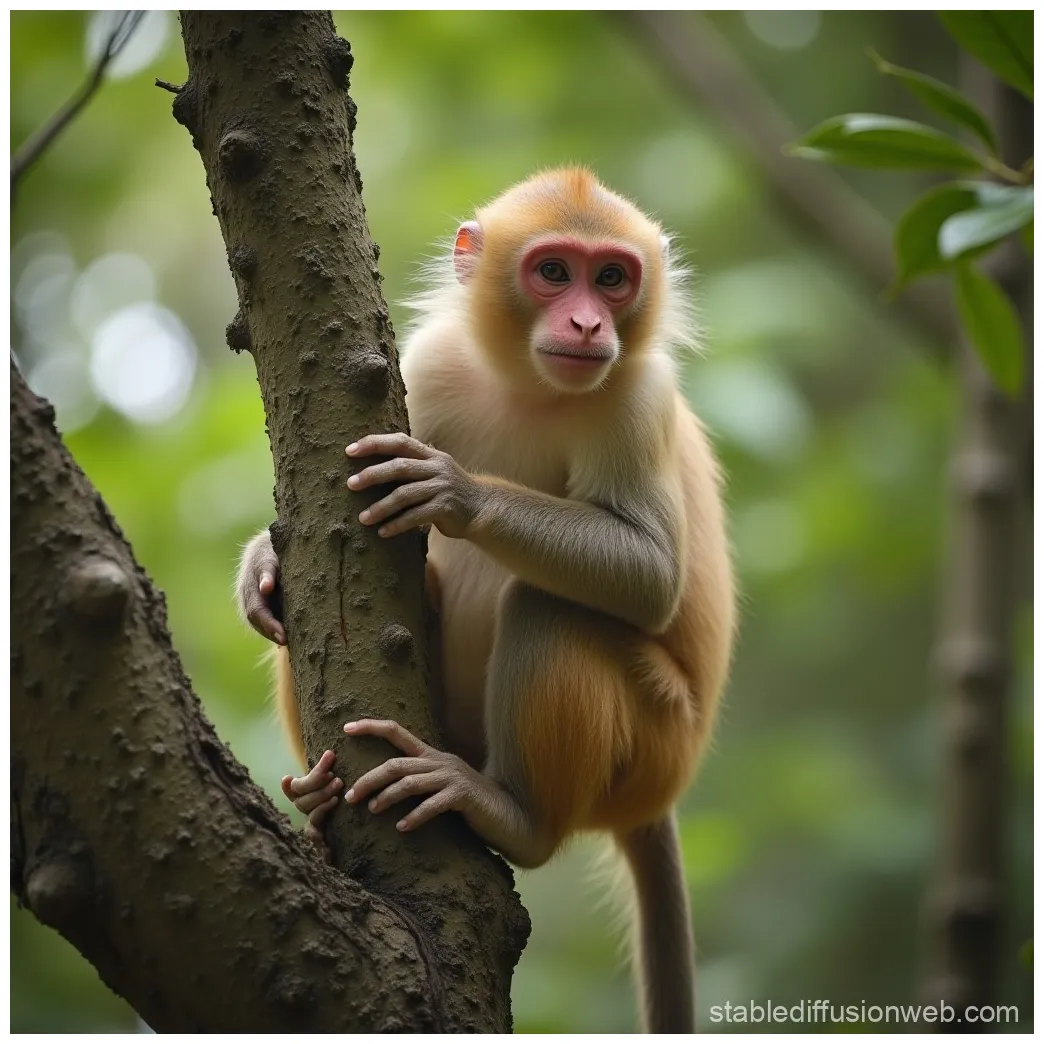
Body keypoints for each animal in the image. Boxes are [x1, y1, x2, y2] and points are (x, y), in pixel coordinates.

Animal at [236, 168, 736, 1033]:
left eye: (611, 278)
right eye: (554, 272)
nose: (586, 322)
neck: (531, 390)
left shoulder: (637, 397)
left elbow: (650, 575)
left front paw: (457, 493)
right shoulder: (434, 362)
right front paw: (261, 565)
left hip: (655, 742)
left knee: (551, 607)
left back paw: (510, 815)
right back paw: (322, 796)